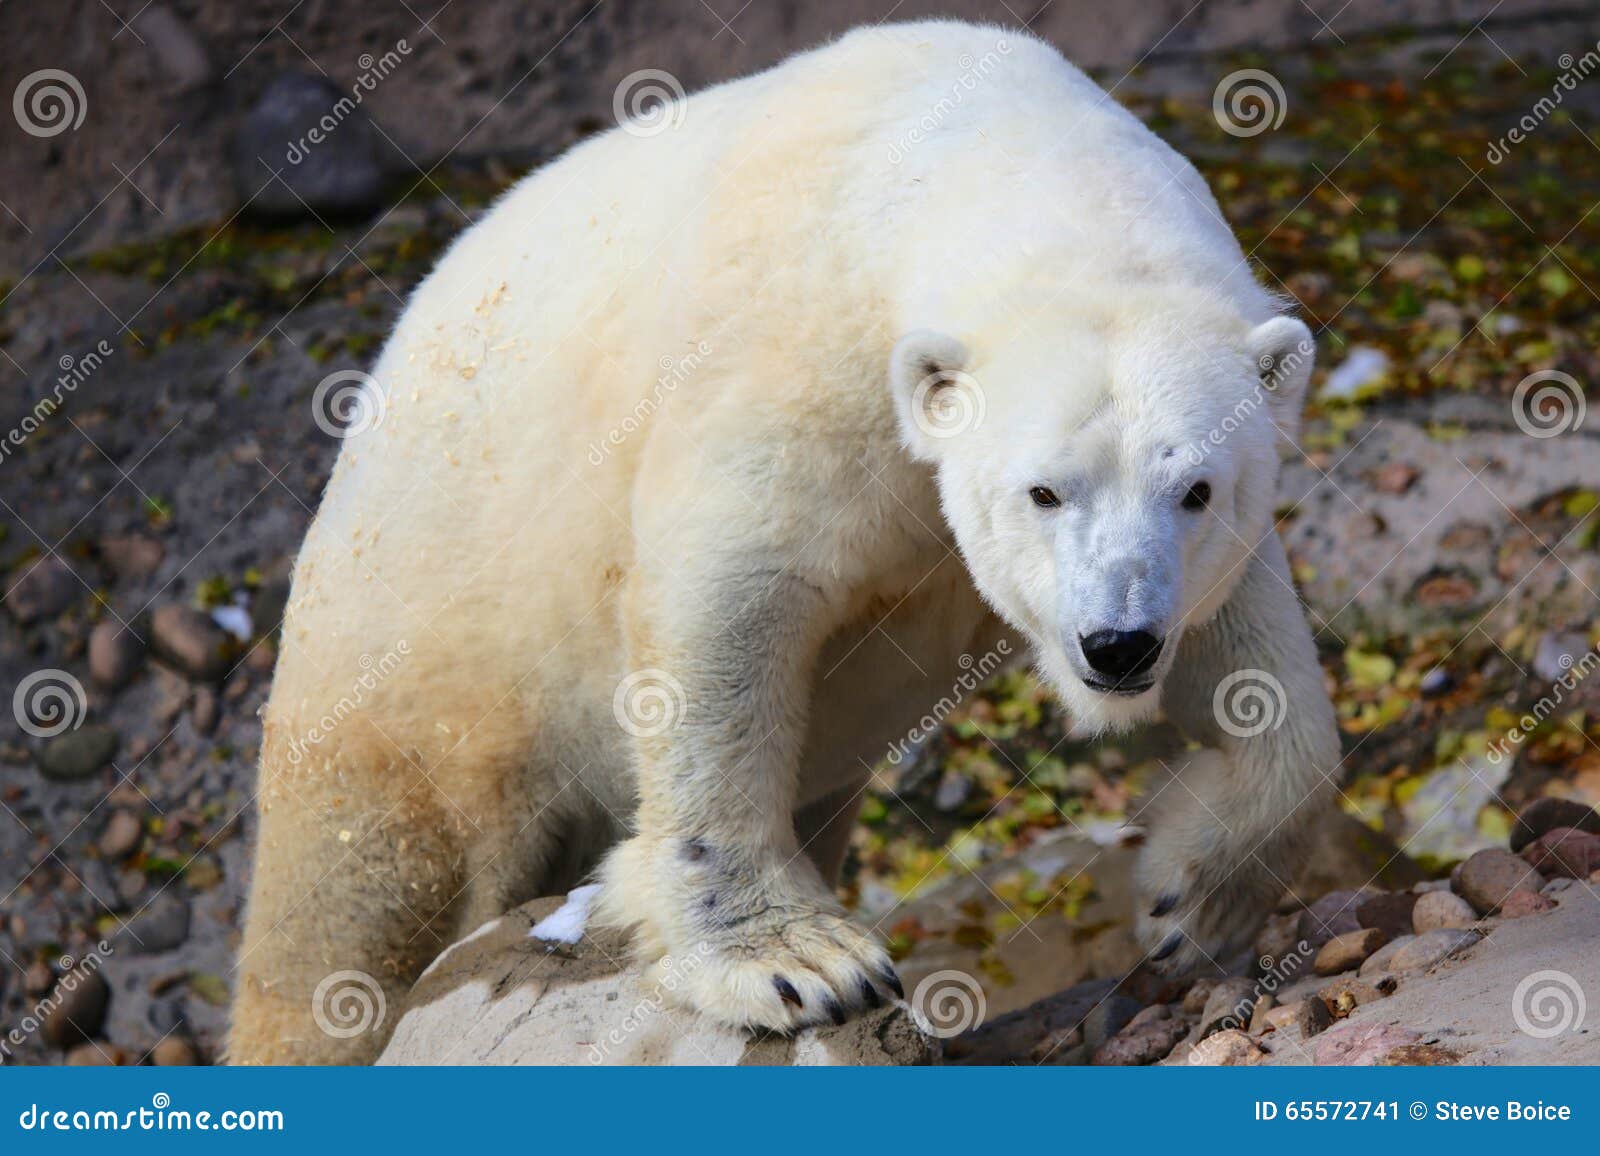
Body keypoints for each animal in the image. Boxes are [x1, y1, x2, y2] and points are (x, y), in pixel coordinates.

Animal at [227, 19, 1339, 1063]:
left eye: (1195, 488)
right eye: (1042, 490)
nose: (1117, 646)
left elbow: (1255, 667)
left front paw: (1191, 900)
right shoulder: (795, 355)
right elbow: (730, 601)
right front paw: (796, 961)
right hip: (420, 660)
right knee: (360, 904)